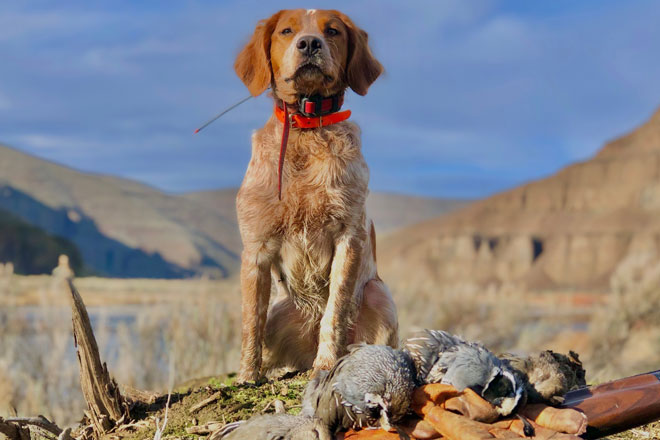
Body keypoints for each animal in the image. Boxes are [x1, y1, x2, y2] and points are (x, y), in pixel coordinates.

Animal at [233, 8, 398, 384]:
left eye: (333, 30)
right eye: (286, 30)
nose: (309, 43)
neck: (307, 132)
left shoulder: (348, 238)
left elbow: (334, 311)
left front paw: (327, 364)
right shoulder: (255, 250)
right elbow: (250, 322)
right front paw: (247, 375)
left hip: (379, 294)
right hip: (281, 309)